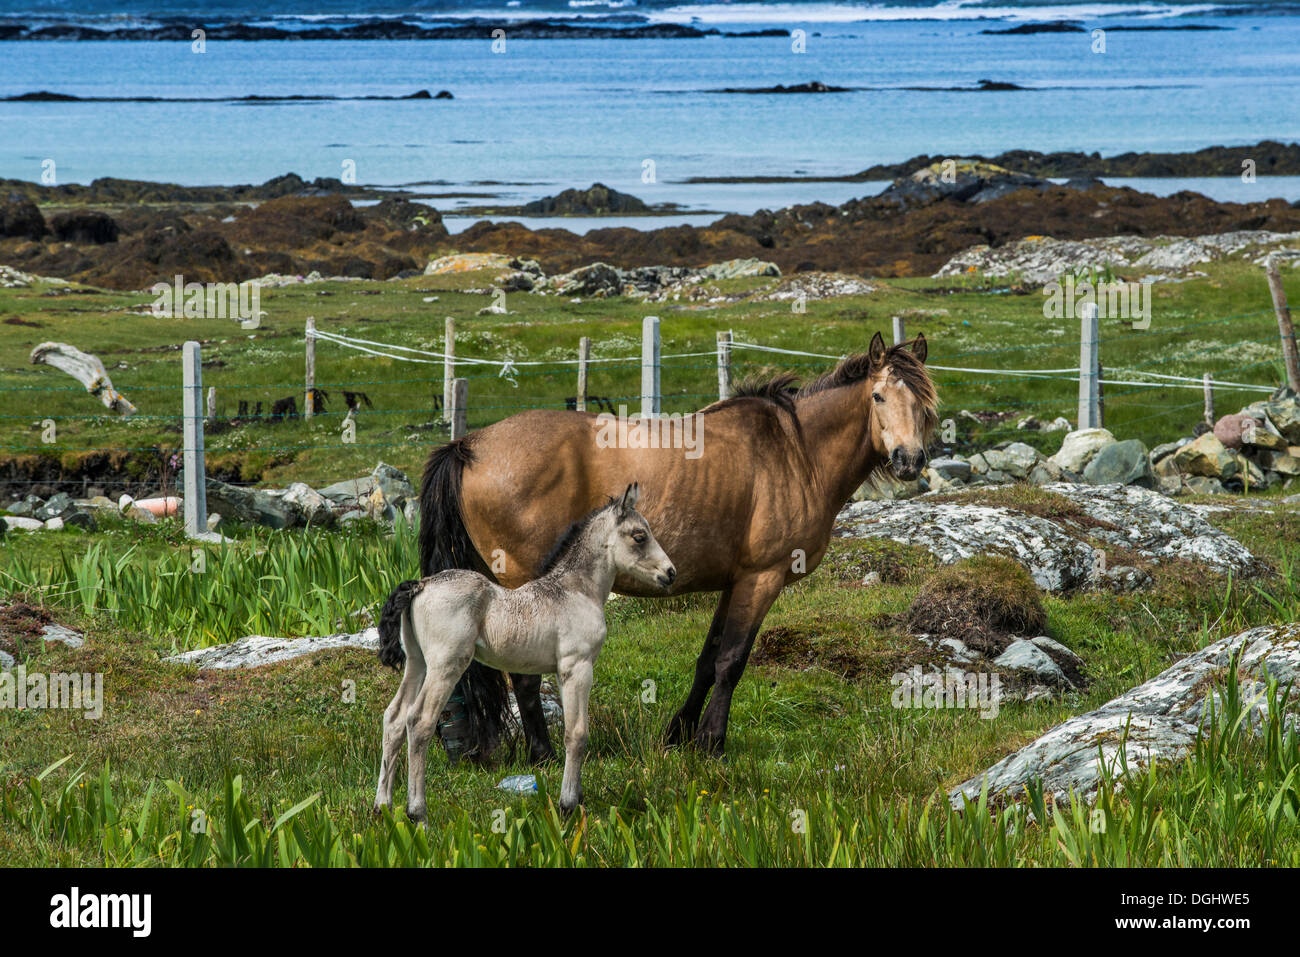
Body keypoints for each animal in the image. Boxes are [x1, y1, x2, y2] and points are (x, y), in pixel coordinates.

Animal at [374, 483, 675, 819]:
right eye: (639, 536)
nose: (670, 573)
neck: (576, 590)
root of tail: (421, 584)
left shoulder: (561, 671)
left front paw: (577, 798)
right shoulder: (578, 666)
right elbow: (577, 734)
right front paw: (567, 805)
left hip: (417, 663)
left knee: (394, 719)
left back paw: (382, 807)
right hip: (446, 665)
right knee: (419, 722)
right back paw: (418, 813)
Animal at [394, 330, 936, 762]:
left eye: (925, 404)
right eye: (879, 397)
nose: (909, 461)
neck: (795, 451)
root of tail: (469, 446)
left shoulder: (735, 581)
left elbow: (708, 659)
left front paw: (679, 734)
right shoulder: (762, 578)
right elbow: (732, 661)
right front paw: (712, 742)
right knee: (522, 676)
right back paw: (543, 754)